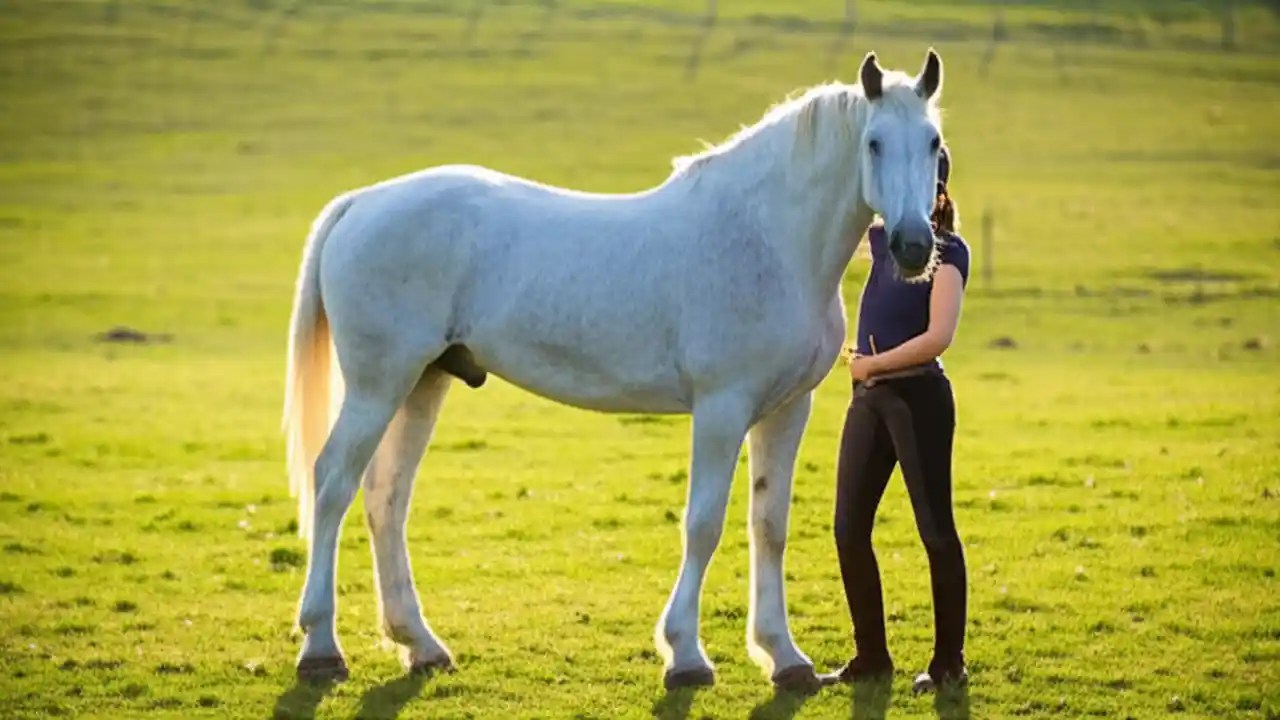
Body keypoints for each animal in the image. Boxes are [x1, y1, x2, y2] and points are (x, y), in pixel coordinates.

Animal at [283, 49, 947, 692]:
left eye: (934, 142)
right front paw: (686, 655)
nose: (914, 247)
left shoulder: (785, 410)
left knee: (386, 497)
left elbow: (769, 525)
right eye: (874, 142)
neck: (768, 239)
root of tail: (362, 202)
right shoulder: (722, 407)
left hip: (424, 382)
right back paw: (321, 649)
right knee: (333, 483)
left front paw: (784, 658)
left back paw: (420, 644)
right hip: (378, 385)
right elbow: (703, 524)